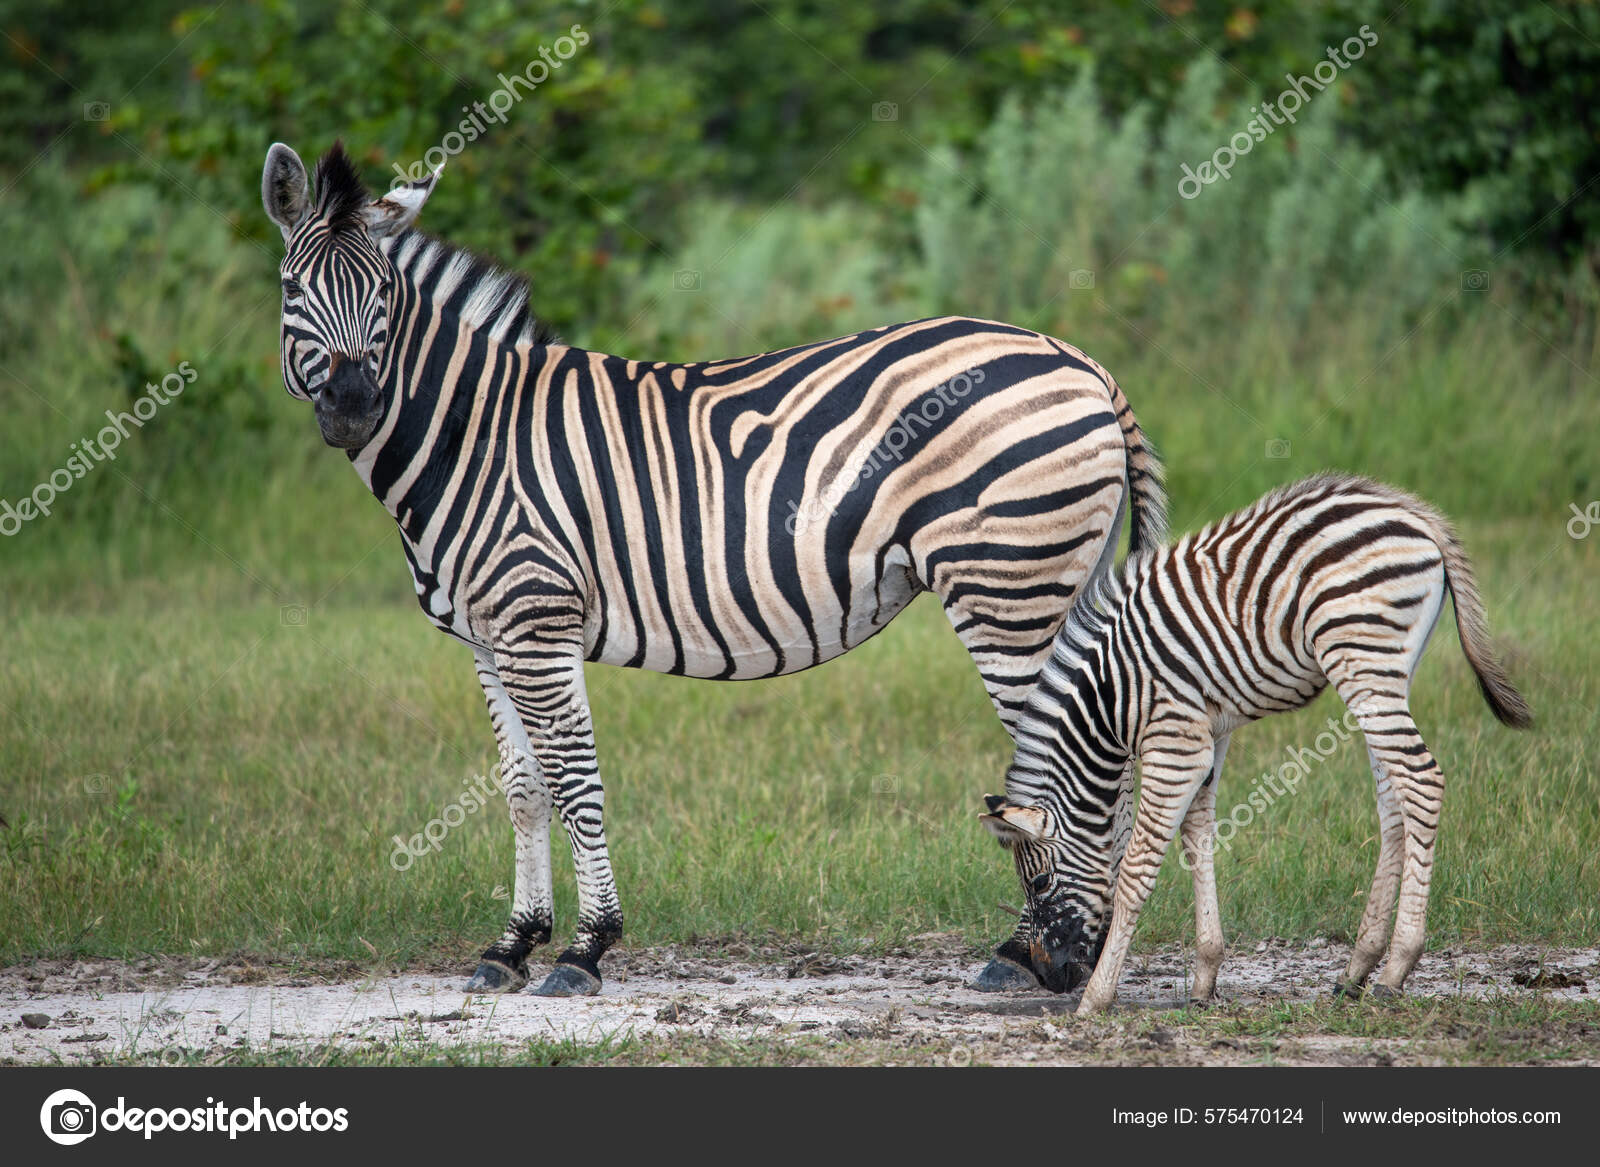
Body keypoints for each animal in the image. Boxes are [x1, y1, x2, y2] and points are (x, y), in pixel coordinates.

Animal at [260, 140, 1167, 997]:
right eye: (293, 289)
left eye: (383, 296)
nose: (353, 408)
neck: (471, 434)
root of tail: (1081, 360)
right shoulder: (489, 638)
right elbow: (523, 785)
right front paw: (512, 944)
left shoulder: (537, 621)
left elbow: (574, 777)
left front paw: (587, 948)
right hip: (1063, 587)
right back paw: (1065, 944)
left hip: (1009, 591)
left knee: (1071, 763)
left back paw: (1035, 952)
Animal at [980, 472, 1531, 1014]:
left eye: (1039, 883)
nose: (1050, 979)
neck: (1111, 694)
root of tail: (1416, 517)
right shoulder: (1209, 731)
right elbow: (1198, 836)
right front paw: (1204, 977)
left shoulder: (1175, 738)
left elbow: (1137, 866)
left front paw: (1097, 997)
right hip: (1388, 672)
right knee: (1393, 798)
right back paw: (1357, 970)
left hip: (1360, 655)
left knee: (1421, 781)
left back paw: (1396, 969)